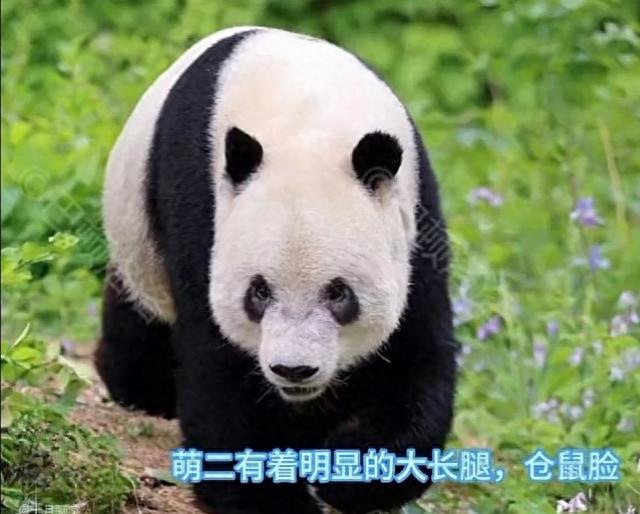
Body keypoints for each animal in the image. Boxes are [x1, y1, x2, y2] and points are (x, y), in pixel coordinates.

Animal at [96, 26, 457, 514]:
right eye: (259, 292)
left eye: (339, 293)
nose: (294, 370)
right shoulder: (200, 201)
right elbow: (219, 364)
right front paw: (274, 496)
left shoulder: (415, 219)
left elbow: (413, 354)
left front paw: (347, 472)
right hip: (138, 241)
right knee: (139, 329)